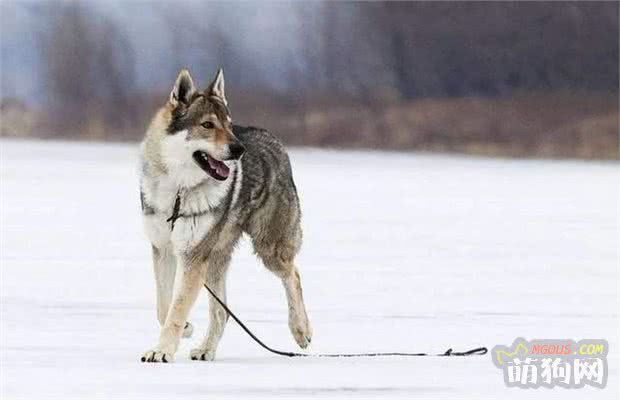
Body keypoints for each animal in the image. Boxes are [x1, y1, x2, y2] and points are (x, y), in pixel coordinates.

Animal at [139, 68, 312, 362]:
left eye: (228, 124)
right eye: (207, 125)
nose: (238, 149)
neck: (178, 191)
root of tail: (272, 138)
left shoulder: (193, 257)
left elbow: (176, 310)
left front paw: (162, 351)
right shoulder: (163, 249)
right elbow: (164, 308)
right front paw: (185, 329)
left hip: (268, 249)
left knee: (294, 275)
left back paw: (301, 330)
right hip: (215, 261)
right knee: (222, 311)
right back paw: (206, 350)